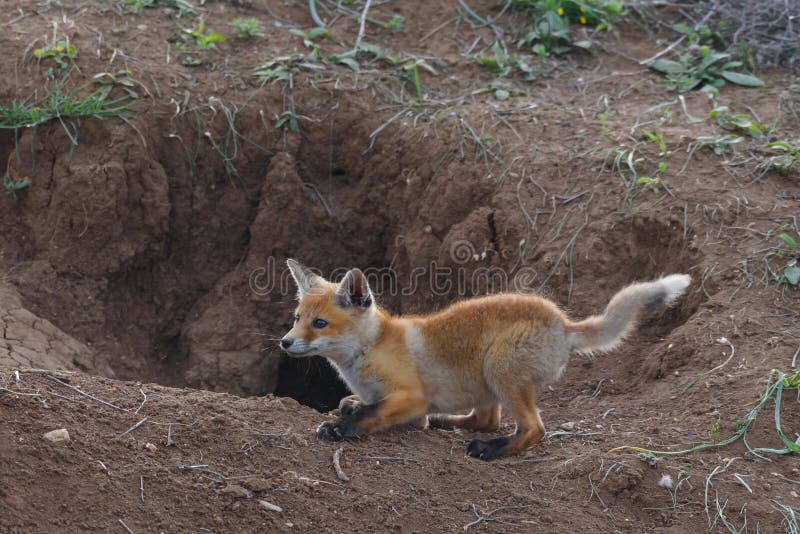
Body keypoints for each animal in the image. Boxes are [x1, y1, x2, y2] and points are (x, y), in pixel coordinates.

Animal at [279, 259, 691, 460]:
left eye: (320, 323)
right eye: (297, 318)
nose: (284, 342)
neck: (370, 350)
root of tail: (564, 322)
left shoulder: (411, 397)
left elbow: (371, 413)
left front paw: (339, 428)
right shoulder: (398, 402)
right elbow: (361, 405)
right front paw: (347, 408)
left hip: (500, 370)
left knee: (532, 429)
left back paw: (493, 450)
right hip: (486, 385)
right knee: (485, 419)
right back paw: (448, 424)